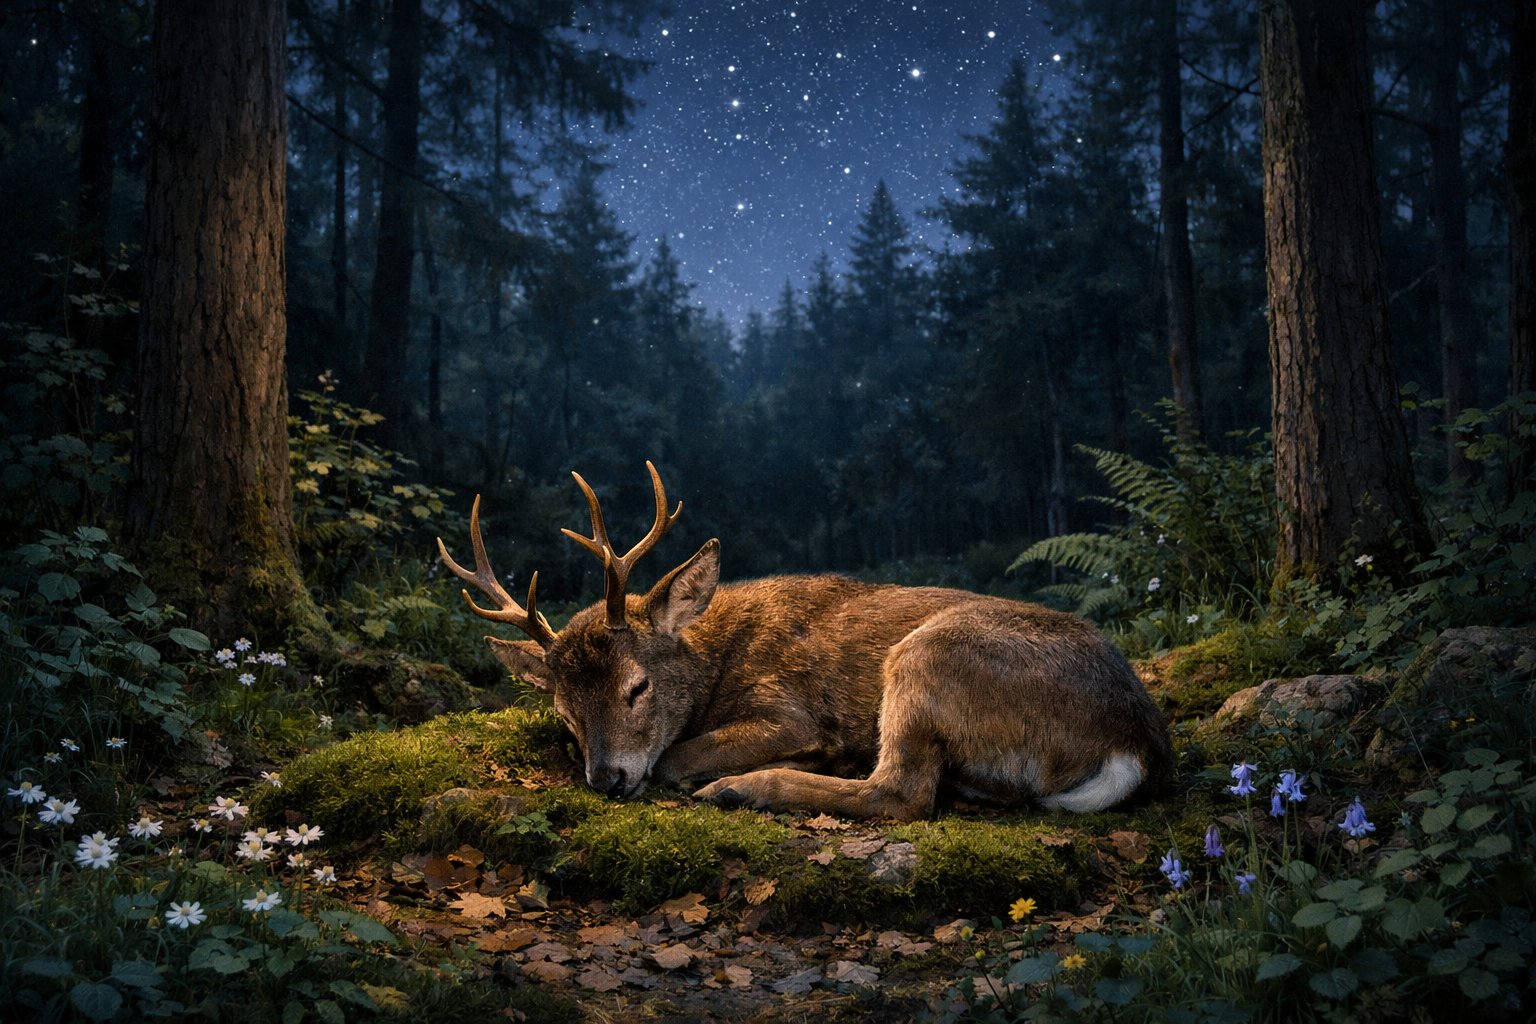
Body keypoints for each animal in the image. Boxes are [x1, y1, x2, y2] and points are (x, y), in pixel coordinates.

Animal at [437, 463, 1173, 821]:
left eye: (635, 687)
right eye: (564, 714)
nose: (608, 779)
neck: (716, 661)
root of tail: (1131, 740)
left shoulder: (790, 708)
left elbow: (675, 757)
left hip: (926, 657)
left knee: (903, 794)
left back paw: (744, 788)